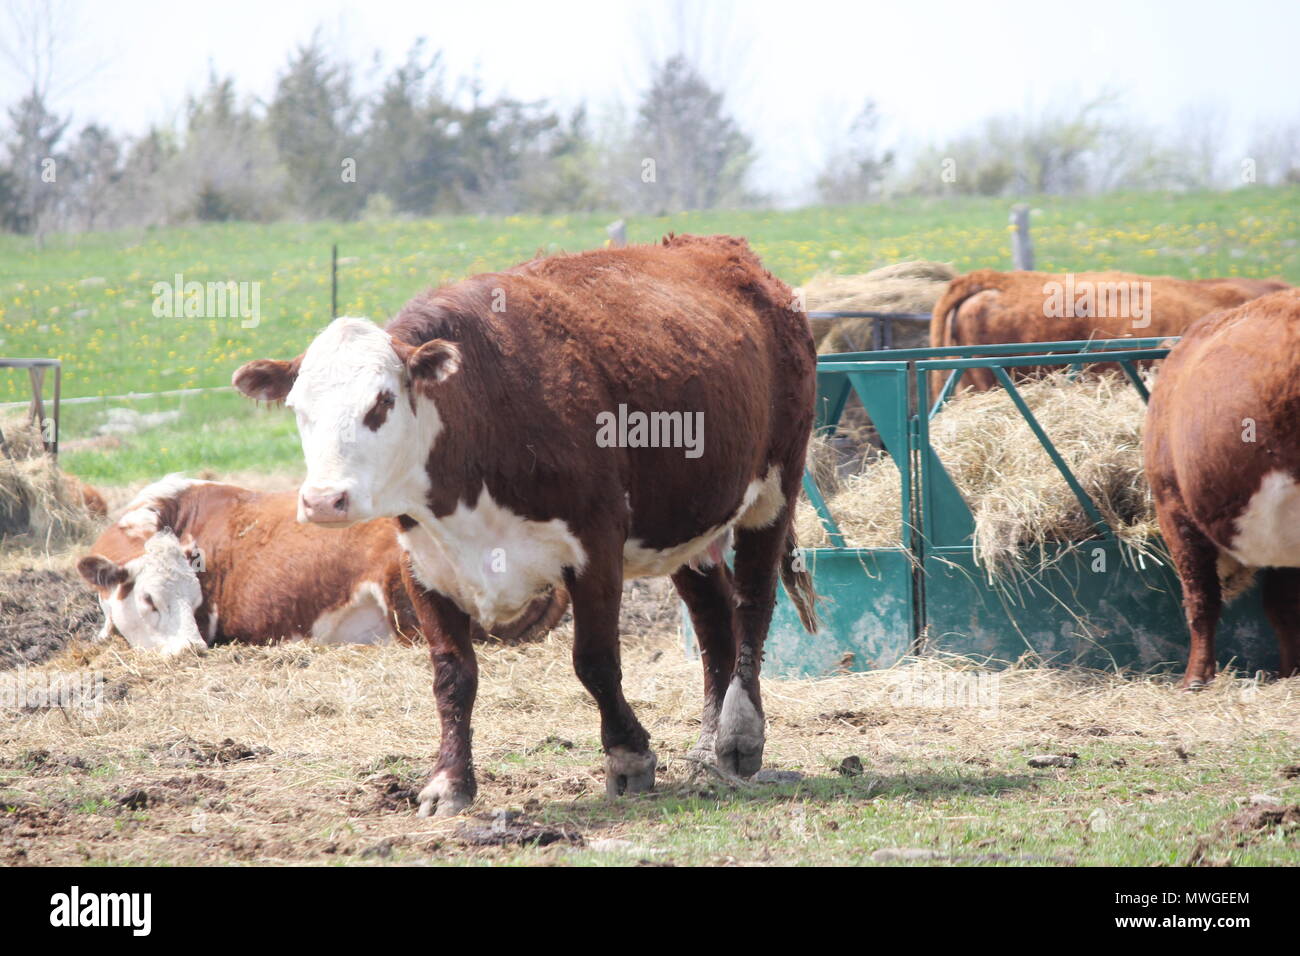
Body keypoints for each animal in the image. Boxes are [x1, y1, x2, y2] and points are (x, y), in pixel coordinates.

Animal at [232, 233, 820, 817]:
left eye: (382, 401)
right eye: (298, 408)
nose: (323, 500)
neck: (482, 414)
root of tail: (729, 252)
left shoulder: (595, 546)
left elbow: (595, 661)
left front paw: (628, 758)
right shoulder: (425, 565)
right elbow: (452, 674)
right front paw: (449, 781)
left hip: (775, 486)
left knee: (753, 603)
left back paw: (739, 735)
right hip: (682, 521)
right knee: (713, 617)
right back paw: (705, 745)